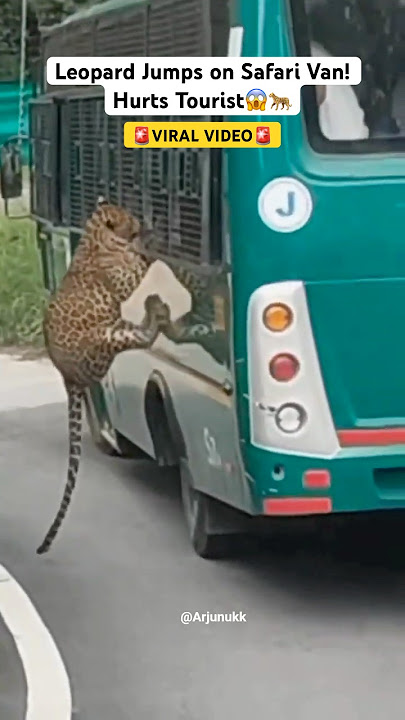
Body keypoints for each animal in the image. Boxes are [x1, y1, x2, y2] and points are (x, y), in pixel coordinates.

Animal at [37, 200, 171, 555]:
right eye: (129, 218)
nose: (140, 222)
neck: (95, 235)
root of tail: (67, 376)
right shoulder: (124, 278)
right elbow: (139, 263)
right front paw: (151, 241)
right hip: (105, 335)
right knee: (142, 338)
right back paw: (157, 311)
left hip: (116, 327)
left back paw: (156, 309)